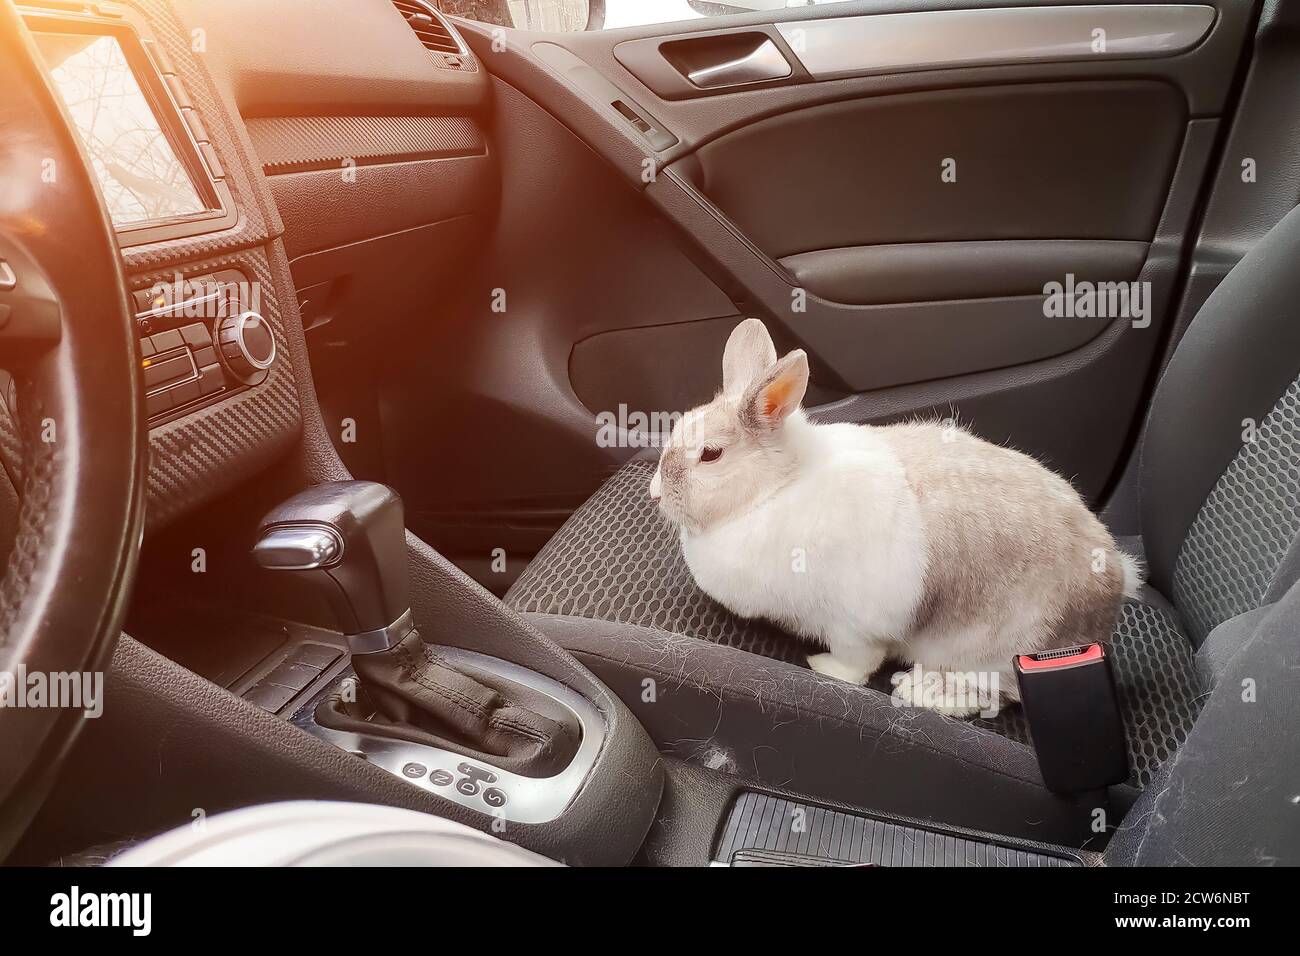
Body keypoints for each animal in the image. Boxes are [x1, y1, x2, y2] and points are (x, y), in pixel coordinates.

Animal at [648, 318, 1142, 718]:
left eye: (710, 454)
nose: (655, 492)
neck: (776, 490)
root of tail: (1115, 581)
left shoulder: (851, 625)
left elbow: (855, 665)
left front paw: (822, 668)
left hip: (999, 650)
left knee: (991, 694)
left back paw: (921, 692)